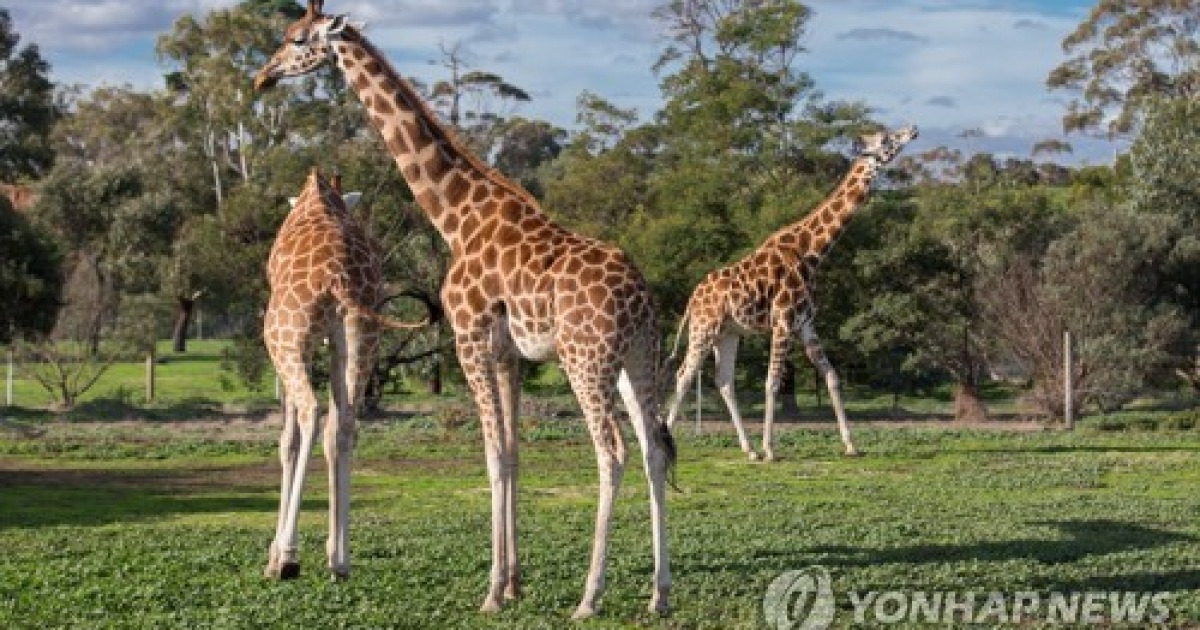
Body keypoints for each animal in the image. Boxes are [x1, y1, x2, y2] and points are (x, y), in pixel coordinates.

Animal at [263, 167, 427, 581]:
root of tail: (337, 279)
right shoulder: (337, 345)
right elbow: (334, 431)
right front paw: (329, 550)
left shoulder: (300, 346)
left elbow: (288, 441)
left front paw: (275, 554)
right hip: (362, 334)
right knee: (347, 424)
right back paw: (340, 560)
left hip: (283, 337)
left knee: (311, 412)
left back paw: (288, 558)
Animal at [664, 125, 918, 461]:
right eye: (887, 139)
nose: (913, 130)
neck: (811, 252)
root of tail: (693, 298)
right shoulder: (783, 321)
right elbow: (772, 383)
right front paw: (770, 449)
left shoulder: (806, 324)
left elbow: (832, 376)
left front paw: (850, 444)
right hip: (704, 328)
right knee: (684, 374)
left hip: (728, 333)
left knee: (724, 381)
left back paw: (748, 450)